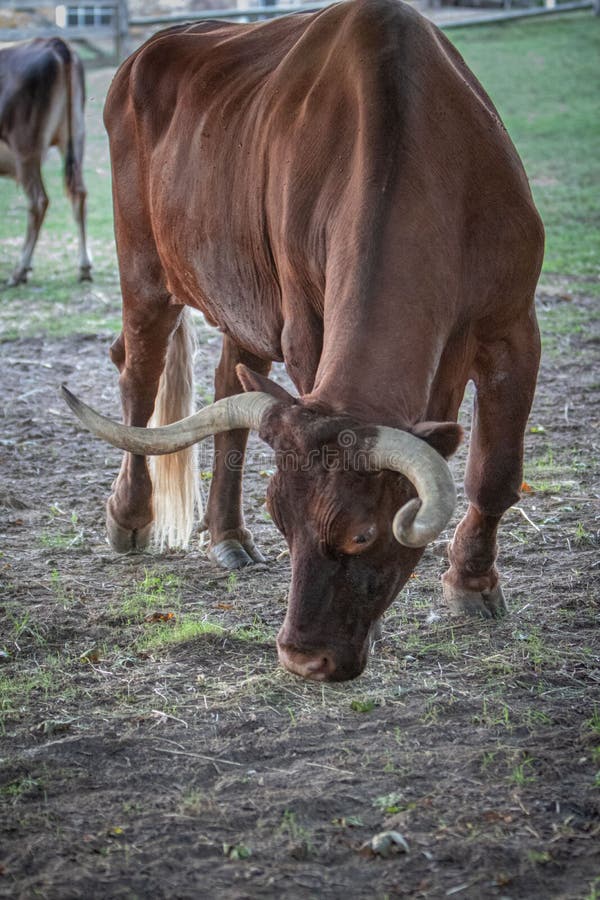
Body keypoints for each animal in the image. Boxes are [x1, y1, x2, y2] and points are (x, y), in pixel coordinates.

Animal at [0, 37, 92, 285]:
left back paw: (20, 270)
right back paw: (84, 267)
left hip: (25, 149)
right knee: (79, 192)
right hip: (74, 135)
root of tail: (54, 43)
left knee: (38, 200)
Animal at [62, 0, 544, 681]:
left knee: (226, 387)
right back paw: (130, 516)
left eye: (363, 534)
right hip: (144, 268)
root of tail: (149, 49)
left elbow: (496, 473)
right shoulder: (305, 328)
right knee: (139, 376)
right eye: (282, 522)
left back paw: (227, 536)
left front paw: (472, 585)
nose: (301, 657)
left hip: (240, 296)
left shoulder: (514, 328)